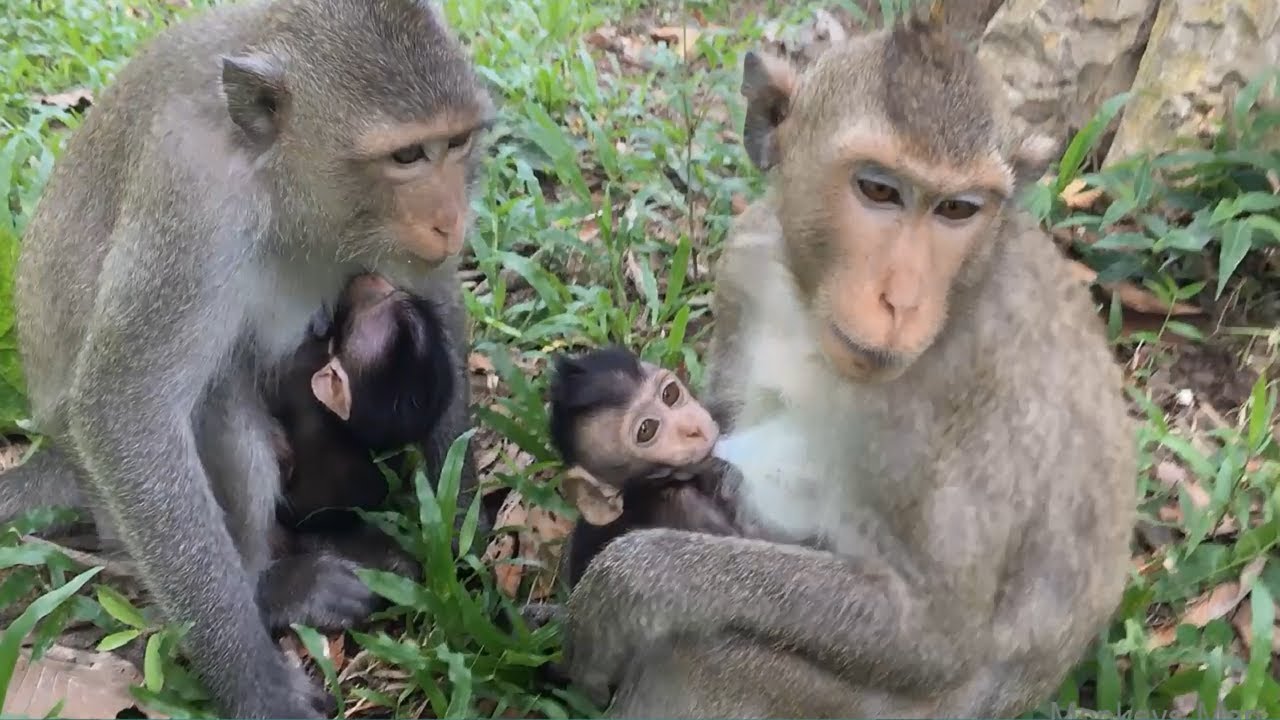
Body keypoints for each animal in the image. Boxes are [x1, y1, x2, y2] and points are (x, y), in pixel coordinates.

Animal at [4, 1, 492, 716]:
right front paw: (251, 681)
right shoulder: (191, 197)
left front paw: (458, 530)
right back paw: (274, 587)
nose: (451, 220)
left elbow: (433, 299)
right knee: (219, 398)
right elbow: (126, 411)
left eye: (456, 144)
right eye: (407, 155)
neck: (276, 175)